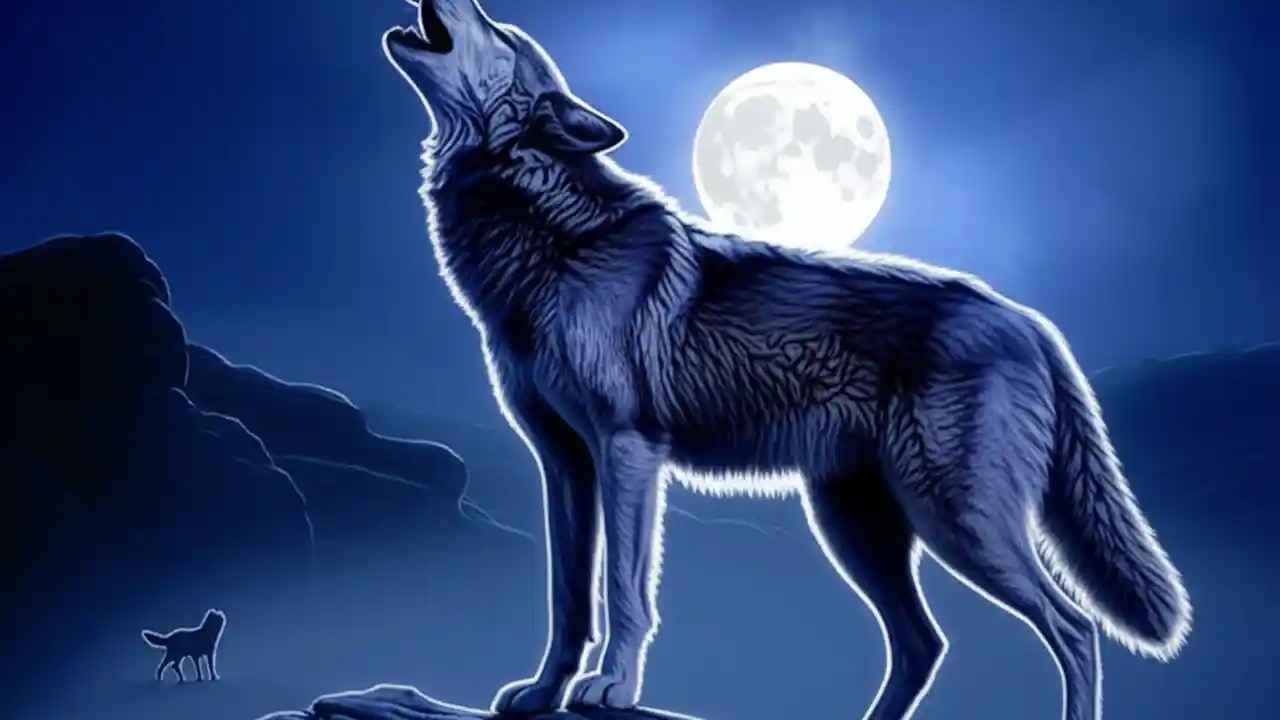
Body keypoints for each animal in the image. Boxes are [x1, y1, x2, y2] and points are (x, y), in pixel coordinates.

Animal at [383, 2, 1192, 718]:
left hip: (957, 521)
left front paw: (610, 688)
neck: (547, 232)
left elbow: (624, 592)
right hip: (856, 527)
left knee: (1074, 629)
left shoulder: (628, 450)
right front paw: (544, 693)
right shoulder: (565, 464)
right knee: (924, 644)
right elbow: (567, 599)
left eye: (500, 32)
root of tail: (1032, 321)